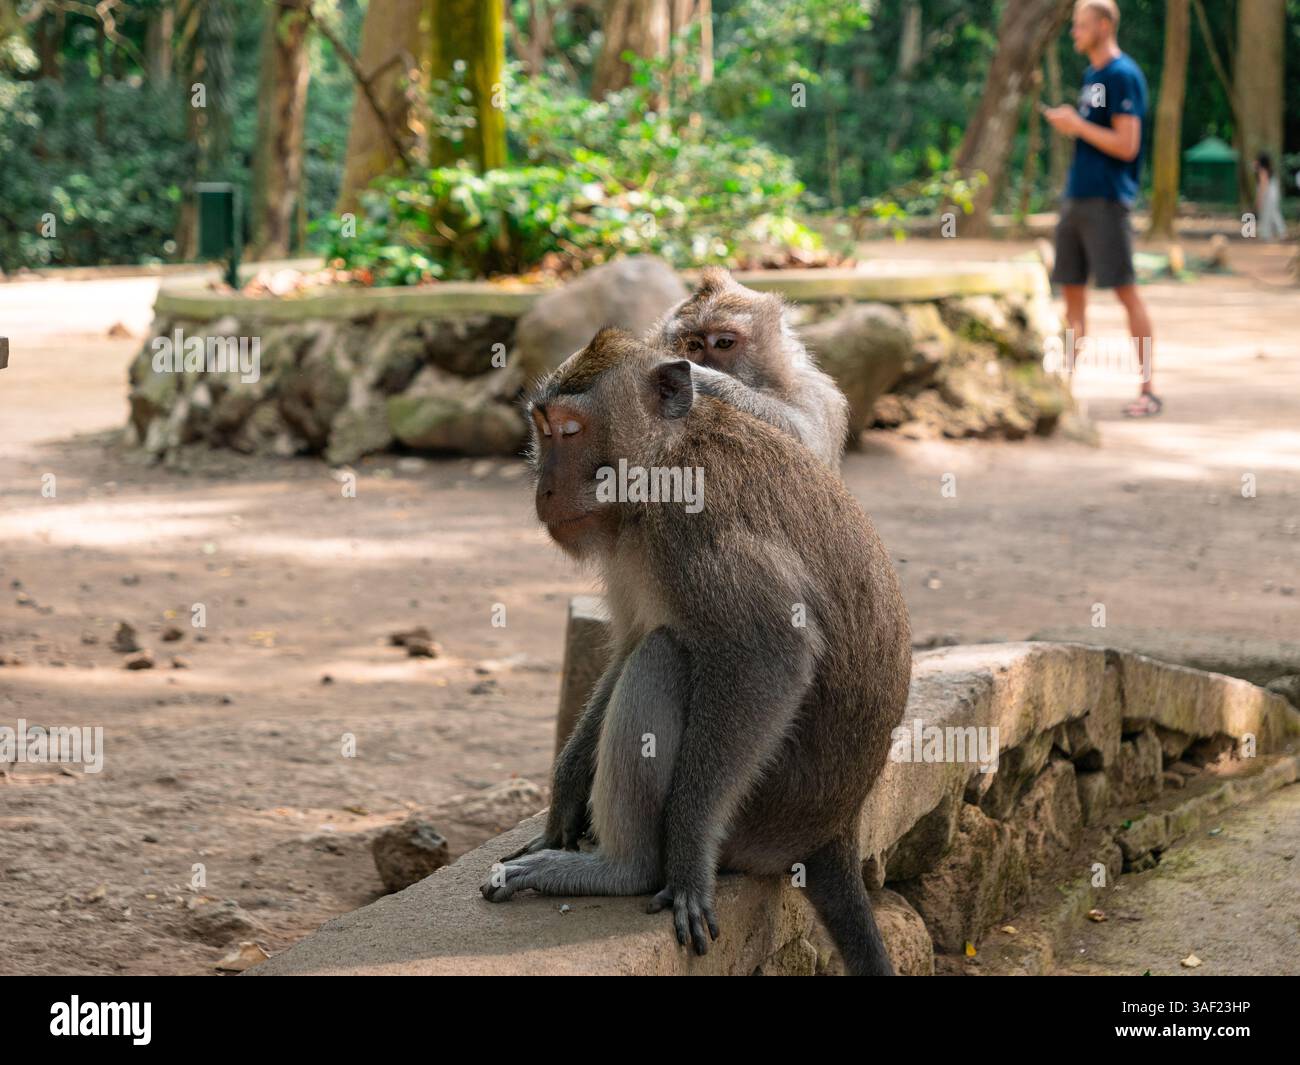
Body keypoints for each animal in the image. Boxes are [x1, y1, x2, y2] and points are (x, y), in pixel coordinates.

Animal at [481, 327, 911, 975]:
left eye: (571, 431)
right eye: (544, 428)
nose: (545, 489)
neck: (663, 456)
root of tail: (835, 829)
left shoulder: (696, 525)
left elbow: (769, 654)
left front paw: (685, 859)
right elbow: (631, 639)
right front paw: (566, 790)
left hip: (760, 814)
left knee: (664, 658)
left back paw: (622, 870)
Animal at [649, 267, 850, 468]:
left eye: (724, 342)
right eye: (693, 345)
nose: (706, 364)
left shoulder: (812, 394)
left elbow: (805, 440)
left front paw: (704, 379)